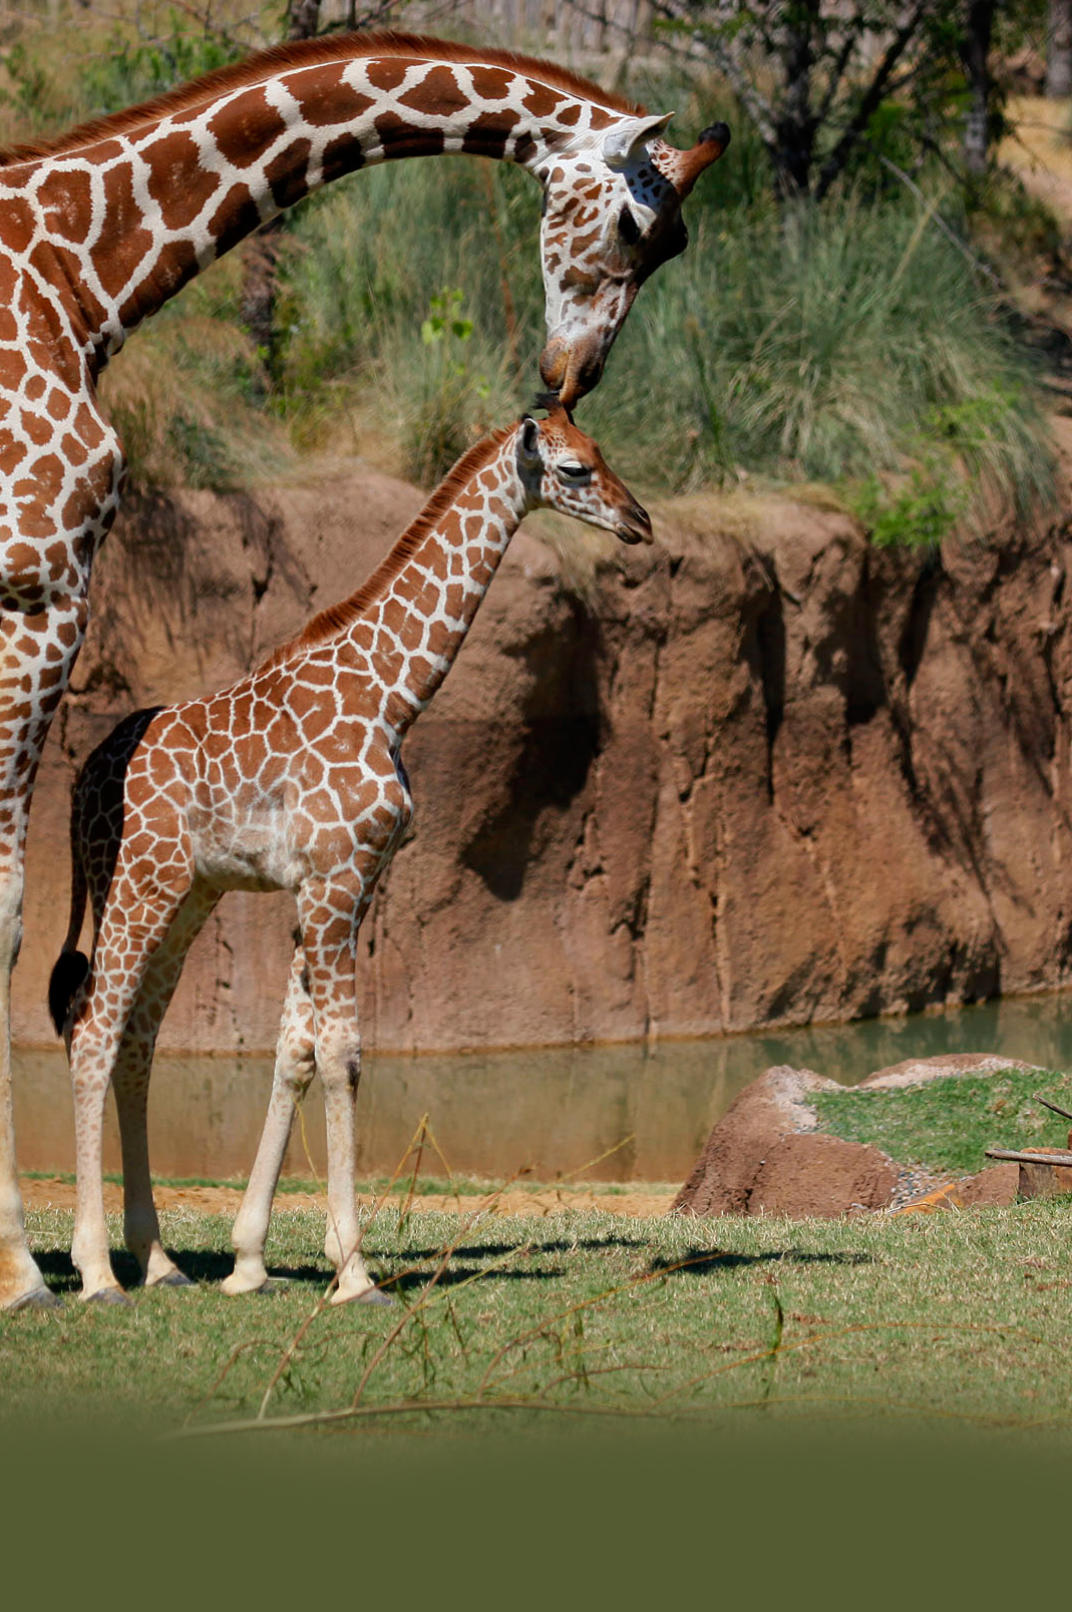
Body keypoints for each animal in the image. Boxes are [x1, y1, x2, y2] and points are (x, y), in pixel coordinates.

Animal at [47, 406, 651, 1305]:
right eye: (575, 468)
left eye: (602, 452)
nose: (640, 521)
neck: (392, 695)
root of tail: (81, 784)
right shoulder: (336, 877)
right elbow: (342, 1053)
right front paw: (356, 1270)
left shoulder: (348, 884)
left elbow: (295, 1049)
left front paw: (250, 1263)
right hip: (138, 885)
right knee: (93, 1027)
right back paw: (94, 1272)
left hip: (188, 898)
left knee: (137, 1041)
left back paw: (159, 1263)